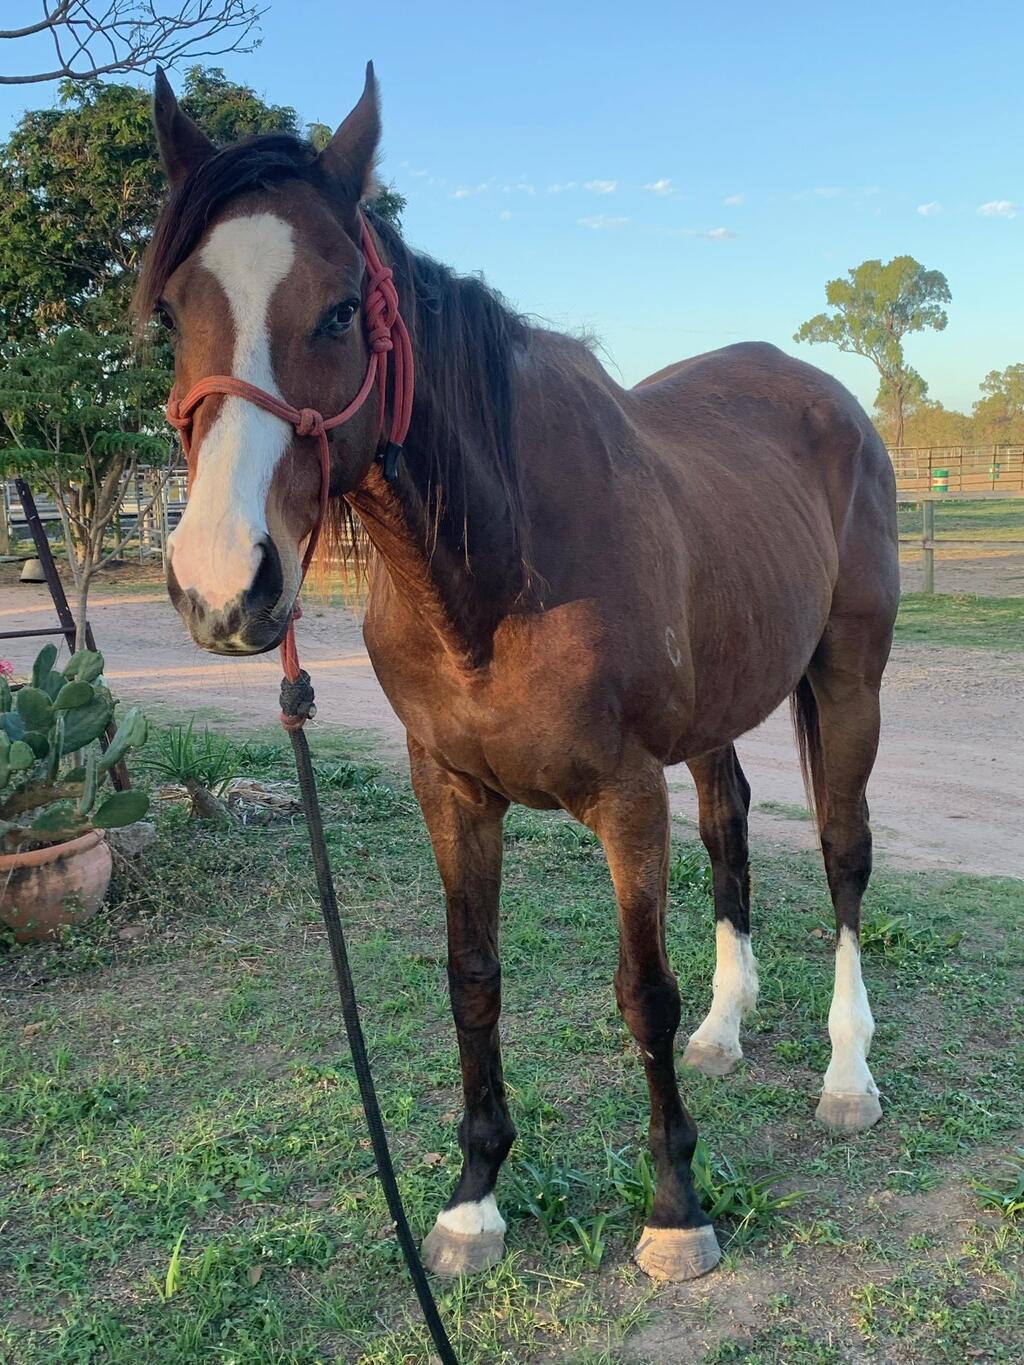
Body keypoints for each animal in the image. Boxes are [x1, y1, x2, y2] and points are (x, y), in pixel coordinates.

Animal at [138, 64, 899, 1283]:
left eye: (342, 309)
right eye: (172, 312)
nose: (221, 583)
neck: (495, 575)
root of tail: (828, 401)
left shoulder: (625, 798)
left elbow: (640, 992)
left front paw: (675, 1205)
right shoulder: (450, 791)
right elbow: (472, 979)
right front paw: (471, 1200)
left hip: (847, 678)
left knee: (841, 855)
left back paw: (846, 1076)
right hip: (722, 707)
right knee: (730, 824)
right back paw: (727, 1029)